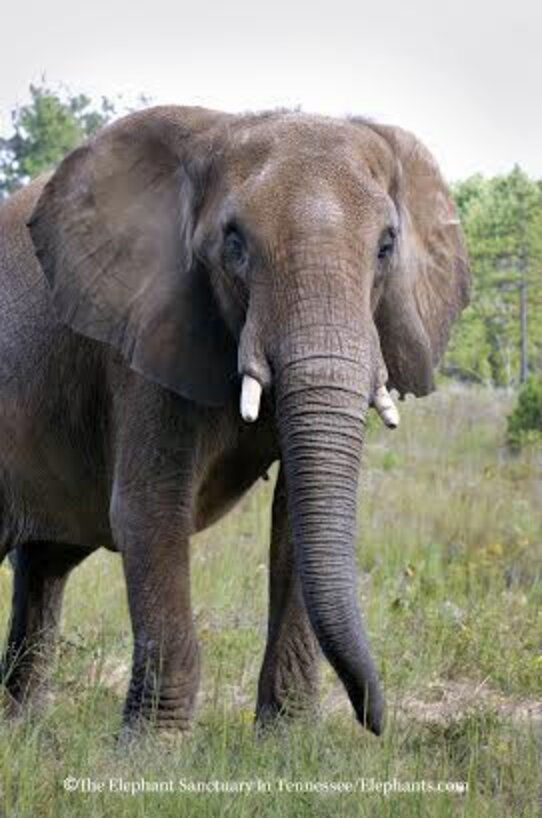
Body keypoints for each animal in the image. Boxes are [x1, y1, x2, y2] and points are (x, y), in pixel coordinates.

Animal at [0, 106, 469, 737]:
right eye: (234, 243)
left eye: (386, 247)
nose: (376, 722)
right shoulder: (147, 336)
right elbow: (149, 511)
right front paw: (153, 751)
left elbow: (294, 519)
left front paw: (287, 745)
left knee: (44, 566)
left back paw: (20, 729)